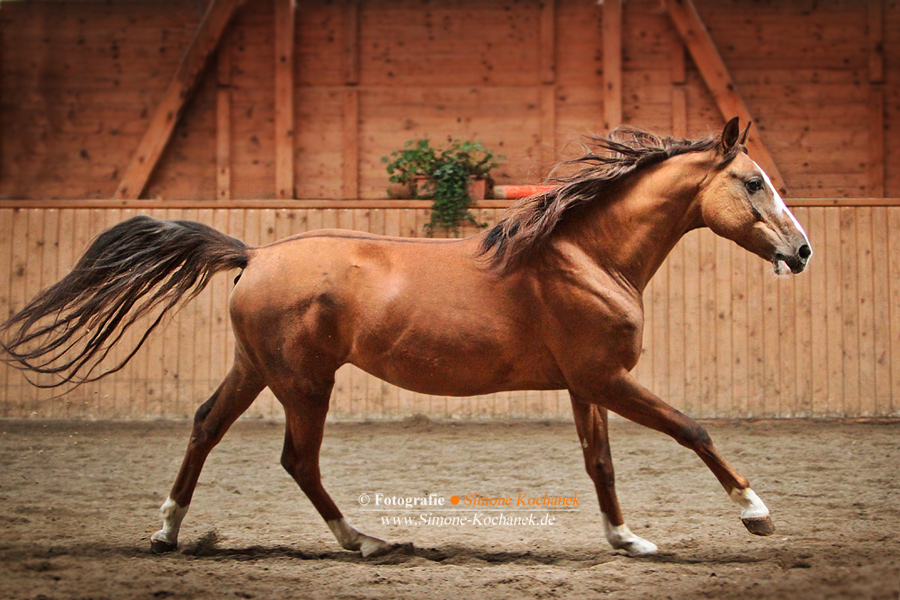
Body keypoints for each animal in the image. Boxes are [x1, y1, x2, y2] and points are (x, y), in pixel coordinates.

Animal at [1, 117, 811, 557]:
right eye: (753, 182)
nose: (801, 252)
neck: (586, 256)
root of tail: (254, 255)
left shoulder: (588, 385)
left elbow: (600, 465)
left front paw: (627, 540)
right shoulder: (608, 378)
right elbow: (692, 429)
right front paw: (758, 515)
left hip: (255, 369)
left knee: (204, 427)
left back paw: (168, 534)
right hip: (304, 382)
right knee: (297, 459)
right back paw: (364, 541)